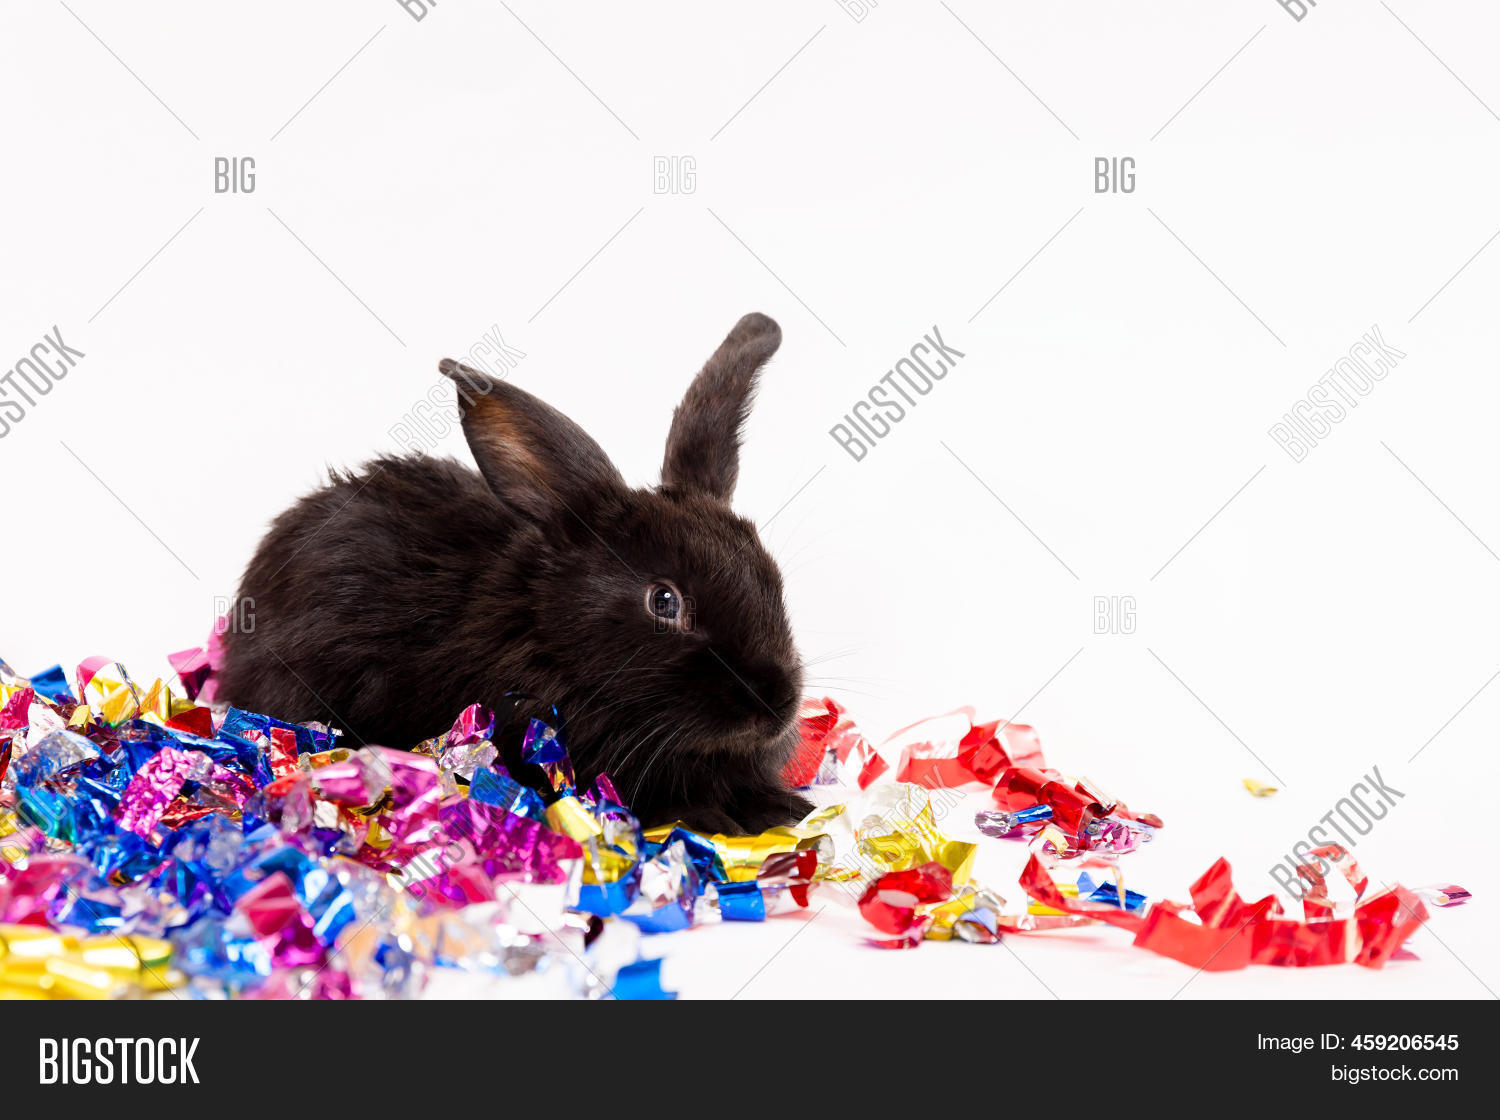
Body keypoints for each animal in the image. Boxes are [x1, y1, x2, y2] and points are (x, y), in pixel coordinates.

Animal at [215, 312, 813, 836]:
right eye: (663, 601)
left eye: (772, 579)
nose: (774, 705)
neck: (552, 640)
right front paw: (713, 816)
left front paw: (783, 808)